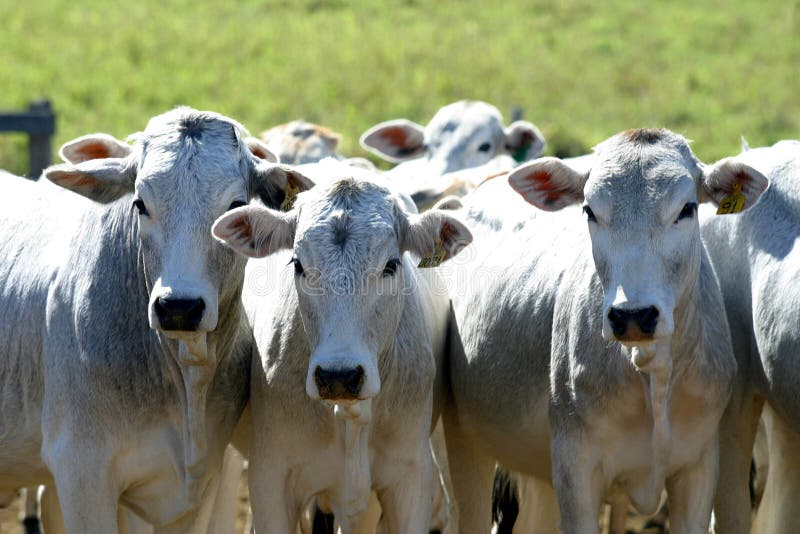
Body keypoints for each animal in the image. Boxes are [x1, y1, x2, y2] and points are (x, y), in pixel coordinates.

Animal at [441, 128, 768, 533]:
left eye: (687, 209)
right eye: (589, 210)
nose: (633, 315)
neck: (652, 374)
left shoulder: (699, 469)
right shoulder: (576, 470)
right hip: (464, 450)